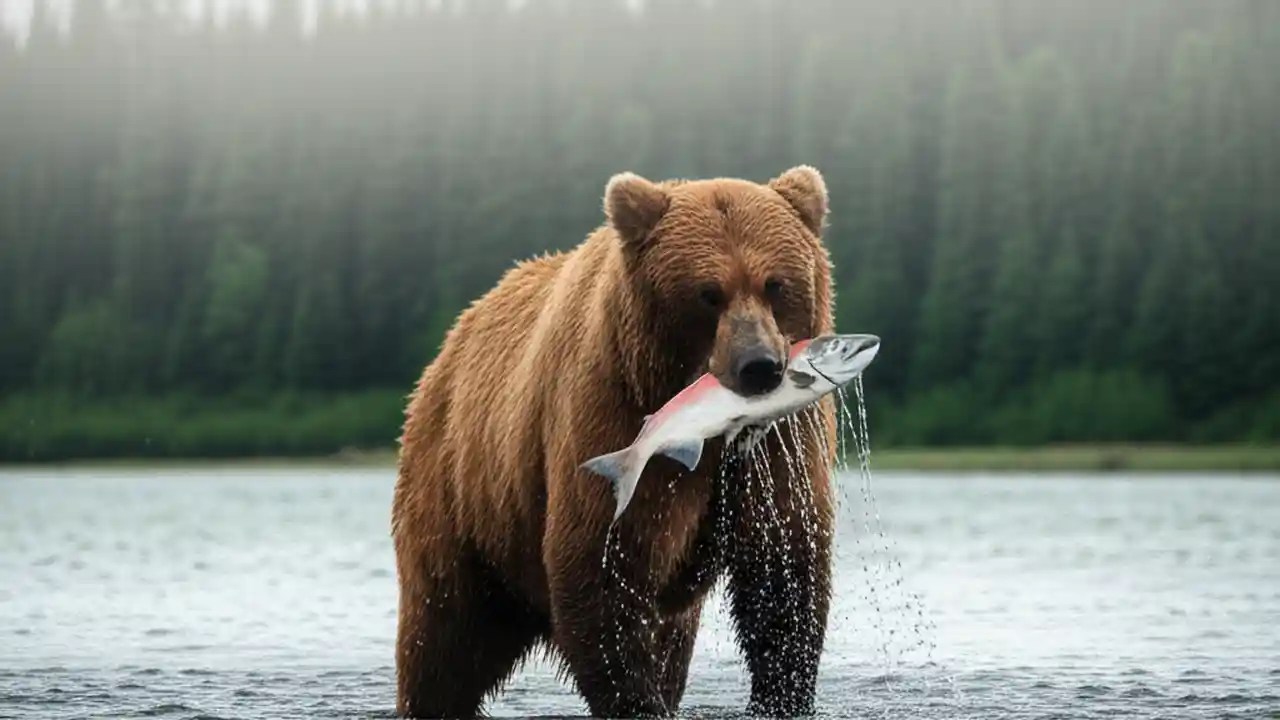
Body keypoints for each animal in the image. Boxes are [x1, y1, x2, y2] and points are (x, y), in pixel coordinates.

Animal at [391, 166, 838, 718]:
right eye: (708, 293)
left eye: (776, 284)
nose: (758, 366)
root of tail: (450, 345)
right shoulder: (611, 413)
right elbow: (603, 572)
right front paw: (638, 700)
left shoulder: (781, 446)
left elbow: (783, 571)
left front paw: (782, 693)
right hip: (459, 494)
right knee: (442, 638)